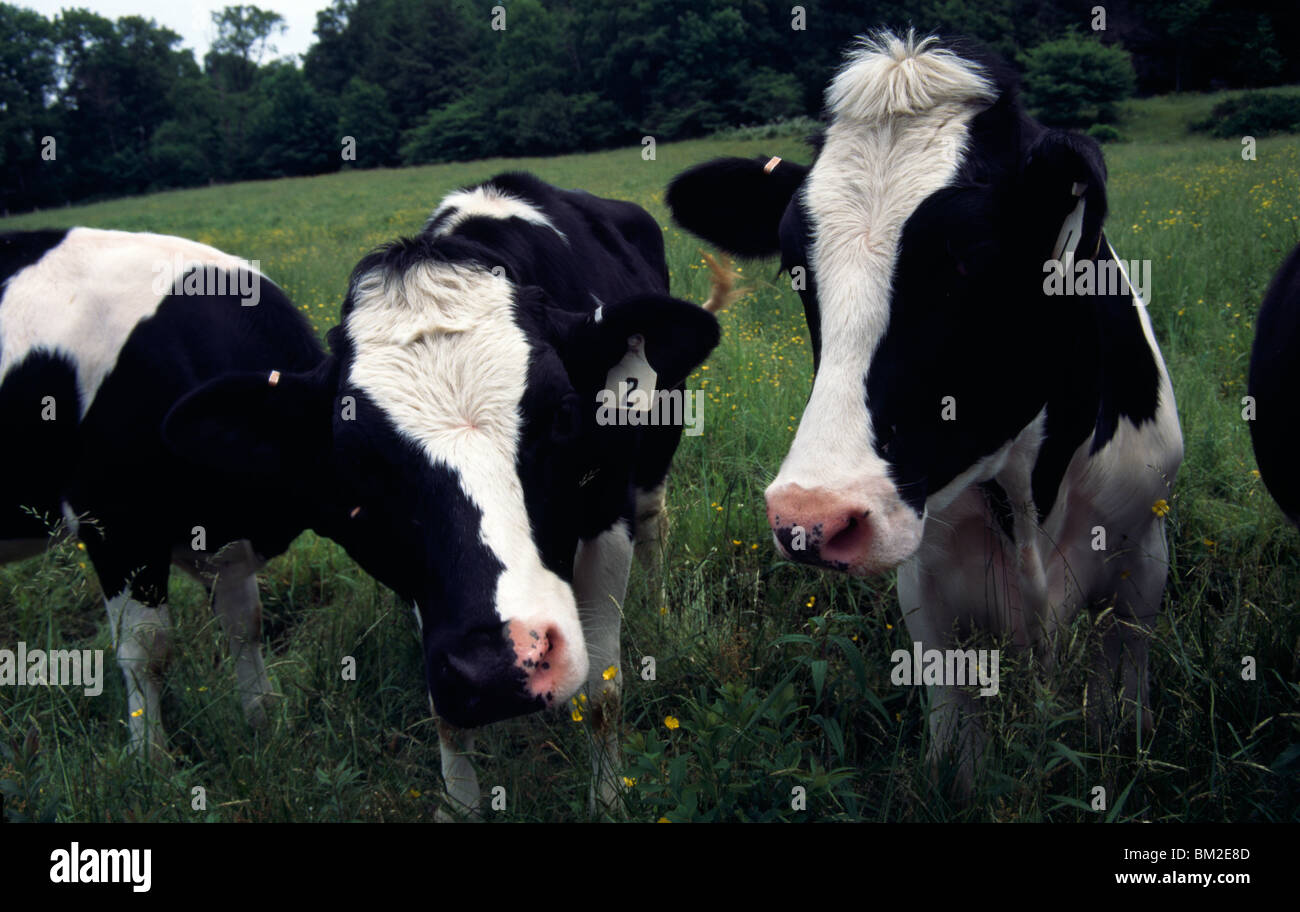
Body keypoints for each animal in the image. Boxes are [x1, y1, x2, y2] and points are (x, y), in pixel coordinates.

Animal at [667, 31, 1183, 787]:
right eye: (795, 264)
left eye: (973, 255)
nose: (809, 519)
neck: (1029, 495)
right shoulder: (927, 586)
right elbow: (958, 750)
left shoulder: (1141, 555)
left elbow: (1119, 716)